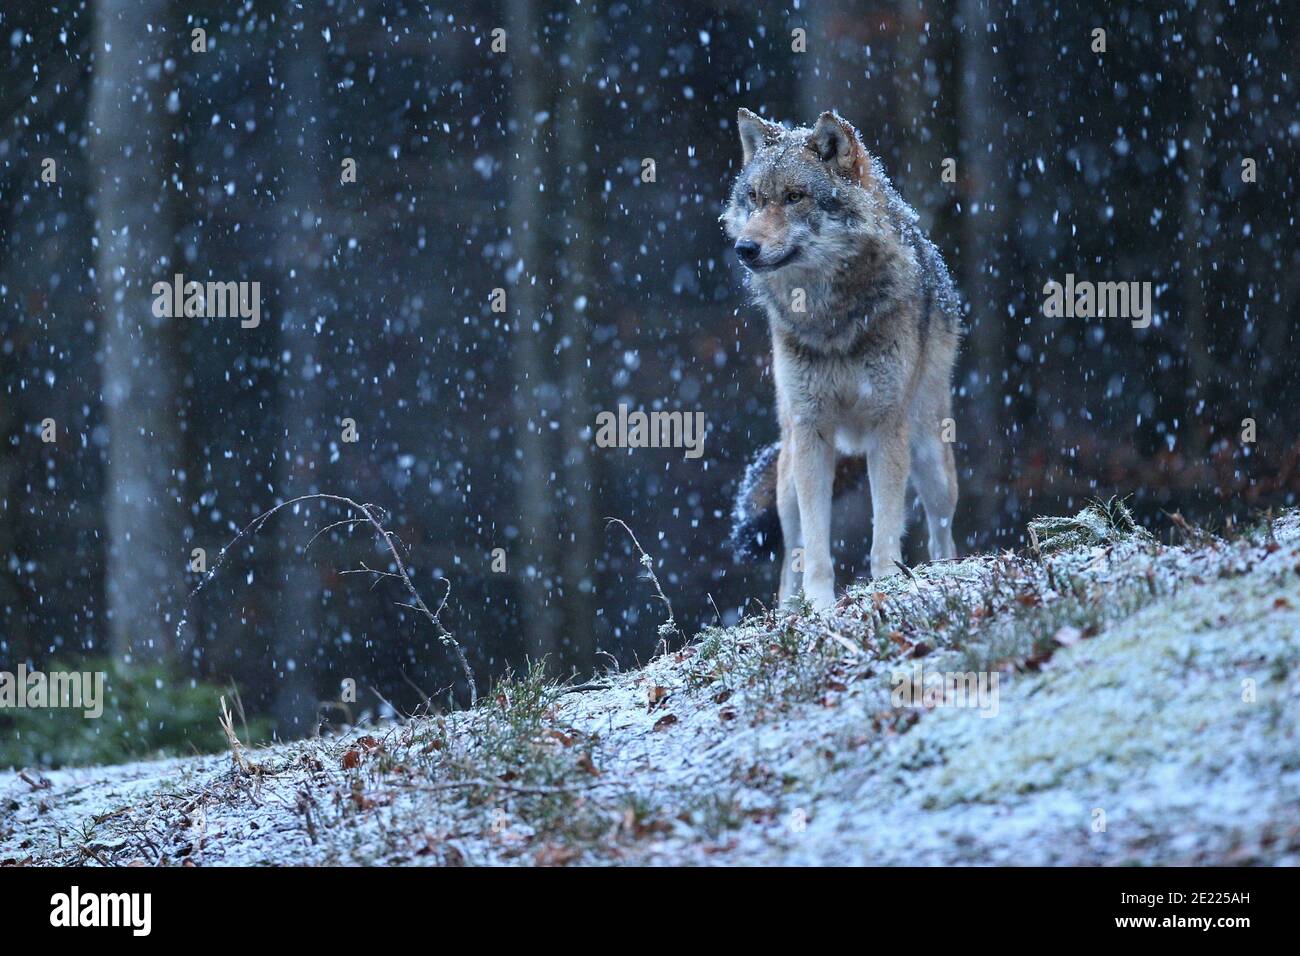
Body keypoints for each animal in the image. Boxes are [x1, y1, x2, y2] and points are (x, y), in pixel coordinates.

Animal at [722, 108, 962, 612]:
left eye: (794, 197)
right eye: (754, 198)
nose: (745, 248)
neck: (829, 317)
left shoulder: (886, 427)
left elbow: (885, 530)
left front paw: (887, 584)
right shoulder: (812, 431)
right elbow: (816, 544)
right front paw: (818, 604)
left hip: (931, 459)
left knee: (941, 532)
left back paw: (947, 573)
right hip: (787, 476)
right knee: (789, 555)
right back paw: (788, 609)